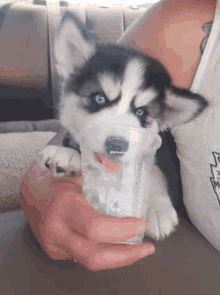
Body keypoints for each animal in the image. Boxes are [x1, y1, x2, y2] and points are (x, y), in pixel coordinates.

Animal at [38, 11, 209, 242]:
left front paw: (157, 208)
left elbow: (153, 171)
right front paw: (67, 154)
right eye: (99, 98)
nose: (116, 145)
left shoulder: (159, 150)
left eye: (141, 112)